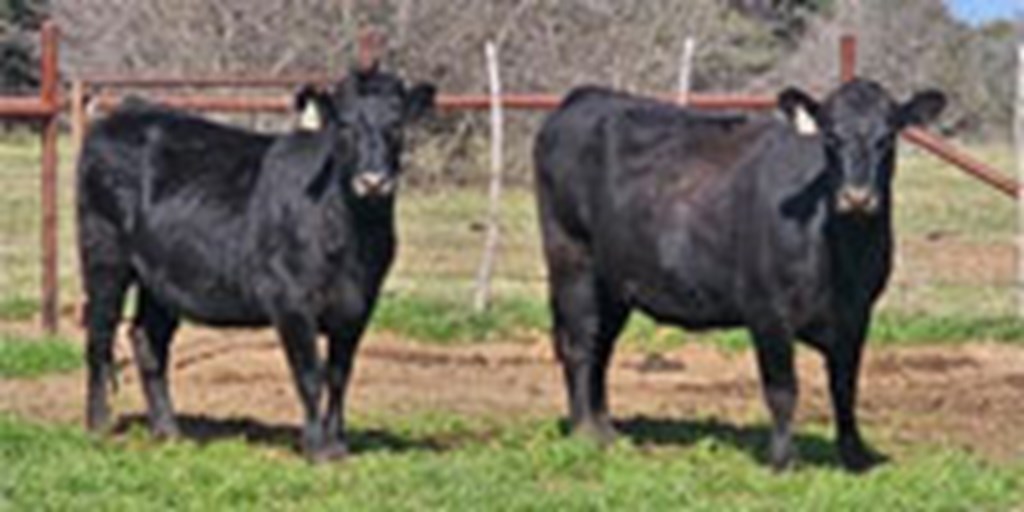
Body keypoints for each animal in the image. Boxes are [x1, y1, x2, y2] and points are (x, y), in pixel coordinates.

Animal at [77, 66, 436, 461]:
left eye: (397, 124)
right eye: (344, 125)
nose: (372, 181)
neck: (351, 237)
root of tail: (126, 112)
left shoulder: (359, 305)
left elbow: (340, 375)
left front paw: (339, 445)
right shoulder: (291, 301)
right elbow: (311, 375)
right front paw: (316, 448)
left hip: (160, 278)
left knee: (148, 339)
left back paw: (168, 431)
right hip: (104, 257)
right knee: (99, 336)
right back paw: (98, 425)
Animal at [533, 79, 945, 471]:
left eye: (887, 137)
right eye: (830, 137)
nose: (857, 197)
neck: (841, 258)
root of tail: (583, 97)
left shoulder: (857, 314)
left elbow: (845, 387)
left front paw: (855, 454)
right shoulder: (768, 311)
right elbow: (782, 389)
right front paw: (782, 459)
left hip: (614, 282)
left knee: (601, 348)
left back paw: (605, 429)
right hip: (572, 260)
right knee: (580, 345)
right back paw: (585, 432)